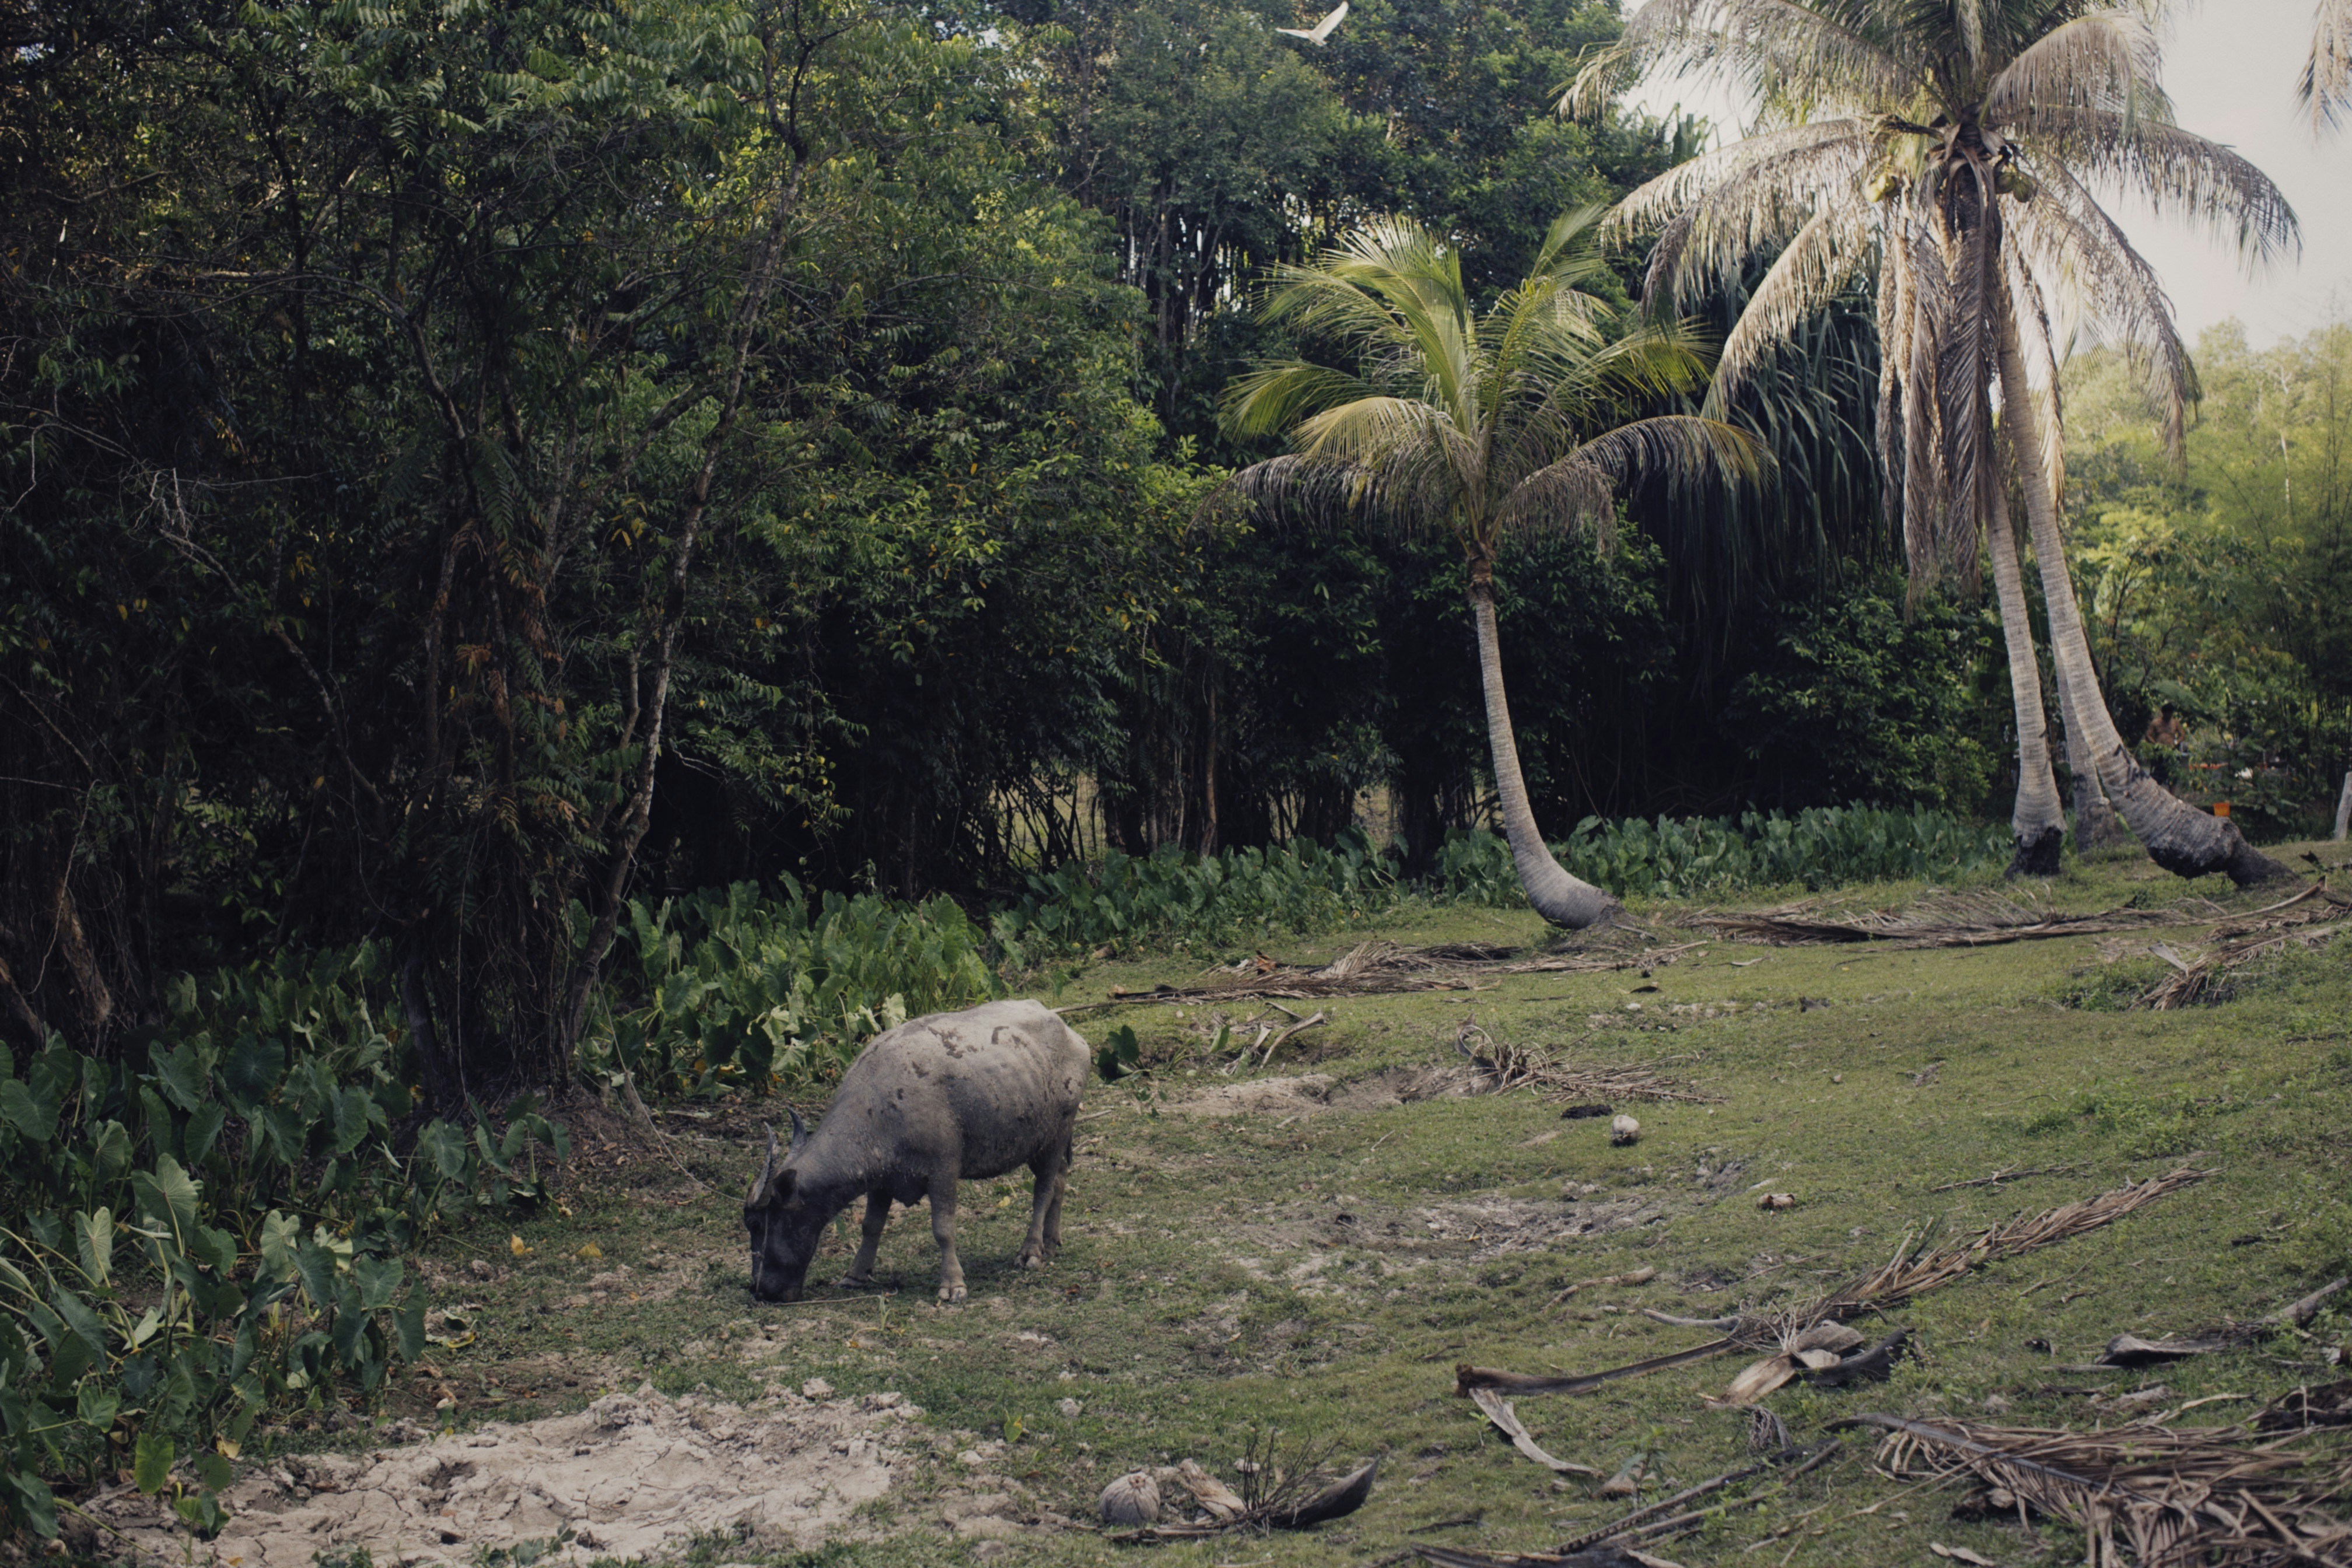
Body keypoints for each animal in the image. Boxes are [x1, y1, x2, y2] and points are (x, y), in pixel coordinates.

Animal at [742, 999, 1090, 1303]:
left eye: (758, 1224)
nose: (760, 1291)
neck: (878, 1111)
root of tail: (1071, 1036)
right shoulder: (881, 1182)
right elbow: (871, 1226)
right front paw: (855, 1274)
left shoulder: (943, 1171)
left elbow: (943, 1229)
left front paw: (953, 1285)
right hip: (1040, 1143)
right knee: (1060, 1180)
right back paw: (1051, 1242)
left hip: (1056, 1133)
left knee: (1044, 1189)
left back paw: (1031, 1251)